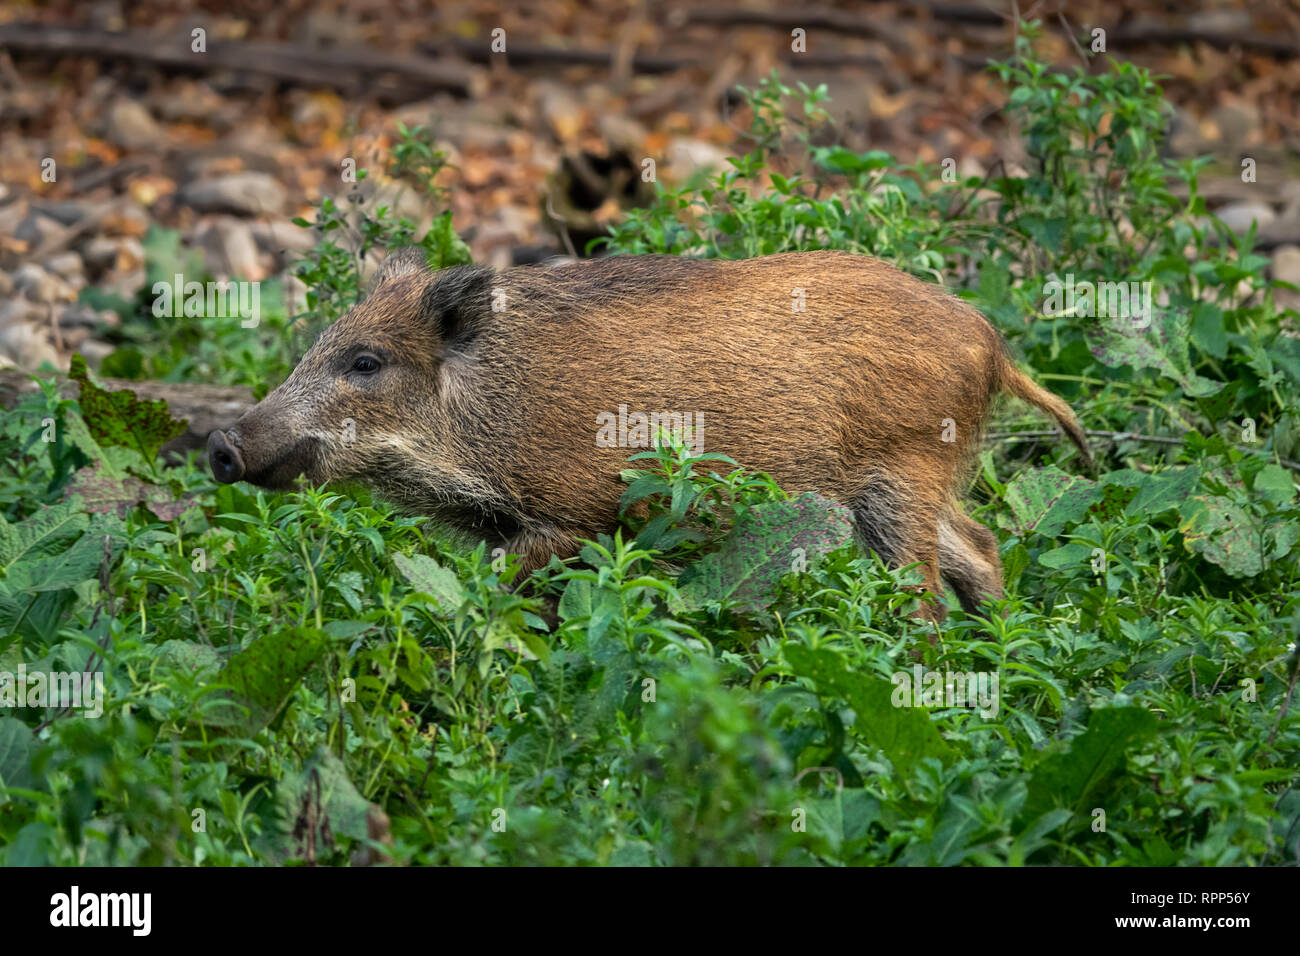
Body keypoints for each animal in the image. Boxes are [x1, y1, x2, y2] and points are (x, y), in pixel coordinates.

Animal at [208, 249, 1089, 616]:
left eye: (365, 362)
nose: (222, 445)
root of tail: (990, 340)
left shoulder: (572, 517)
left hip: (901, 472)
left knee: (928, 589)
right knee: (982, 546)